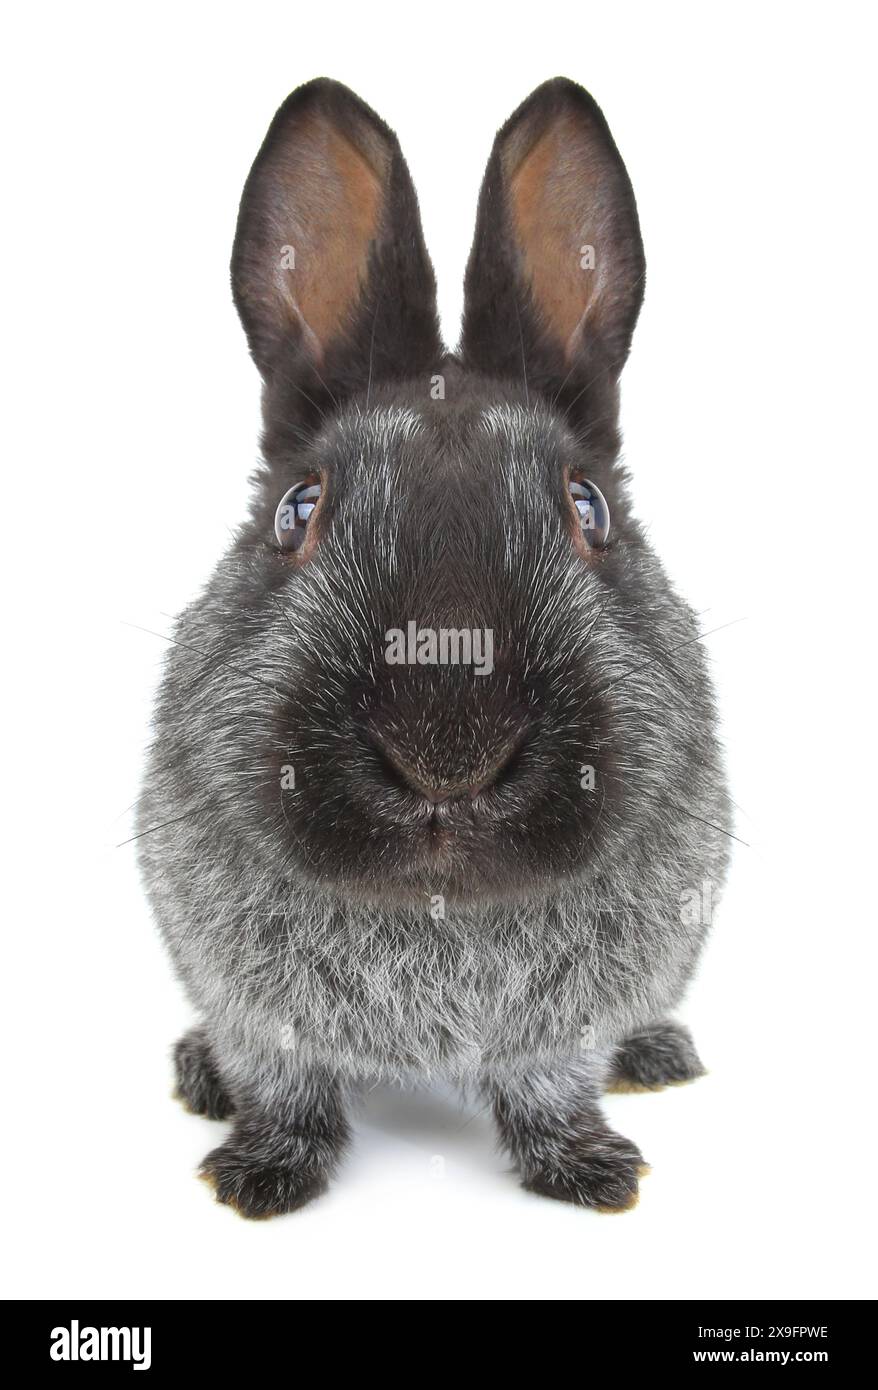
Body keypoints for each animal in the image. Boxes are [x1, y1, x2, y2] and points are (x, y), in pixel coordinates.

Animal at [138, 76, 730, 1218]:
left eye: (590, 509)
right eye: (296, 510)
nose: (446, 757)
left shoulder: (564, 1028)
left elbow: (550, 1086)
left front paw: (593, 1170)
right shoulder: (248, 1004)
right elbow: (284, 1085)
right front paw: (259, 1176)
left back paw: (658, 1054)